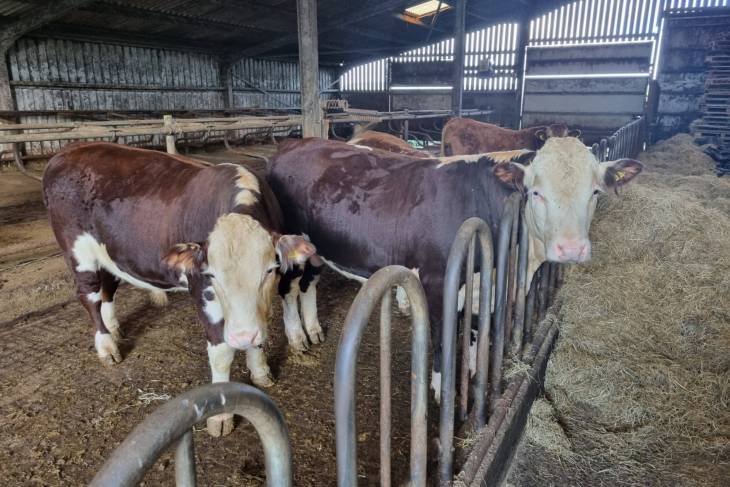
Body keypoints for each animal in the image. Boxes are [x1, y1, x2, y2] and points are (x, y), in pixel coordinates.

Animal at [43, 142, 322, 436]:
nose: (241, 335)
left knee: (108, 289)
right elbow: (221, 353)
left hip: (108, 253)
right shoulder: (203, 291)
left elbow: (258, 337)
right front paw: (221, 417)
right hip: (78, 251)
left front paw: (260, 372)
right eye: (211, 274)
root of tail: (69, 151)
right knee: (90, 297)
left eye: (269, 269)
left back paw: (115, 329)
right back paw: (106, 346)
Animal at [268, 136, 642, 401]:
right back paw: (297, 336)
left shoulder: (481, 286)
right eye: (536, 192)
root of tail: (295, 142)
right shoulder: (437, 283)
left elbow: (475, 330)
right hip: (290, 242)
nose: (571, 248)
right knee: (289, 288)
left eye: (595, 191)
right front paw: (440, 389)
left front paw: (473, 373)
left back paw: (314, 328)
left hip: (317, 248)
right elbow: (442, 339)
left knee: (310, 283)